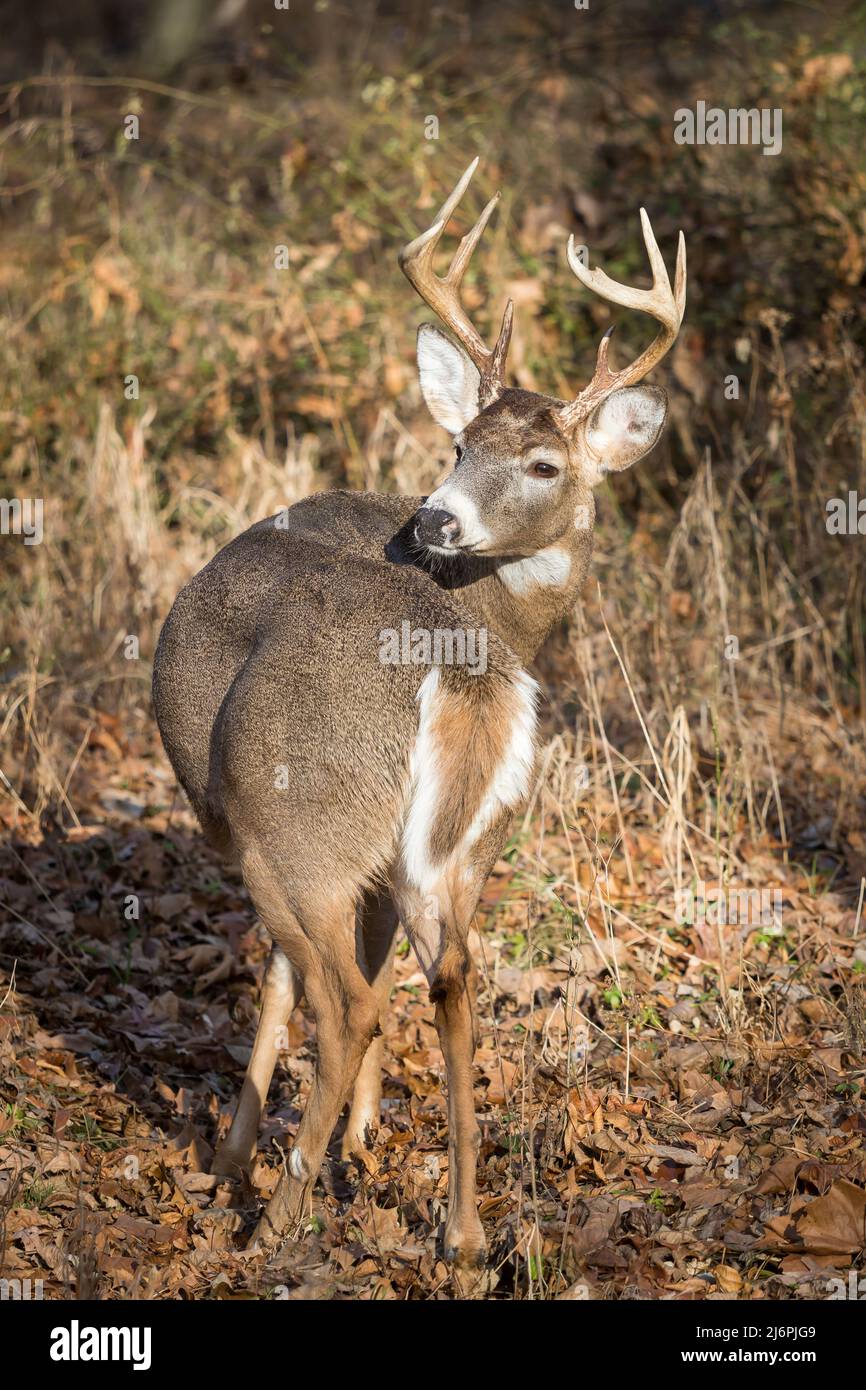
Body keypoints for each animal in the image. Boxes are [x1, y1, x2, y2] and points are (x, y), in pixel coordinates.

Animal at [152, 158, 686, 1268]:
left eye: (544, 465)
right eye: (459, 443)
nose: (435, 519)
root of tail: (461, 672)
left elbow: (289, 981)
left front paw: (240, 1158)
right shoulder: (414, 859)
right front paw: (359, 1143)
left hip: (293, 826)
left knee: (344, 998)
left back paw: (277, 1218)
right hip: (469, 841)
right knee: (452, 972)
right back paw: (462, 1229)